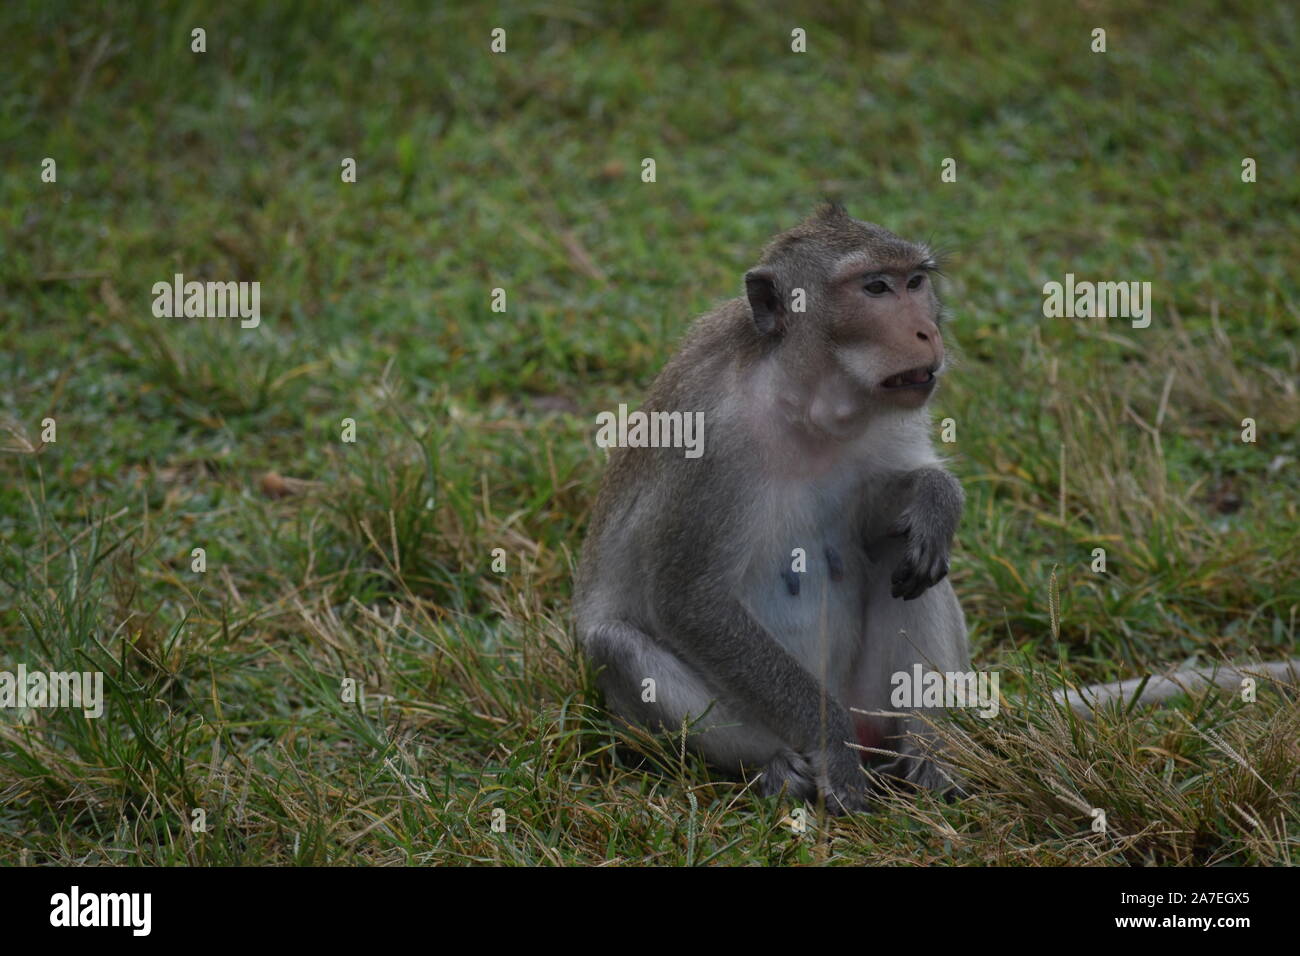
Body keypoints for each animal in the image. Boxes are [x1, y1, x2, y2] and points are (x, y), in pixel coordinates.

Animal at [574, 204, 969, 814]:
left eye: (916, 282)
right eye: (875, 288)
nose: (928, 330)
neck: (803, 402)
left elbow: (878, 521)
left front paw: (934, 498)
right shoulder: (710, 438)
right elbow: (692, 601)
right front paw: (833, 750)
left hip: (869, 700)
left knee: (906, 559)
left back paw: (929, 759)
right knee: (615, 644)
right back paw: (778, 768)